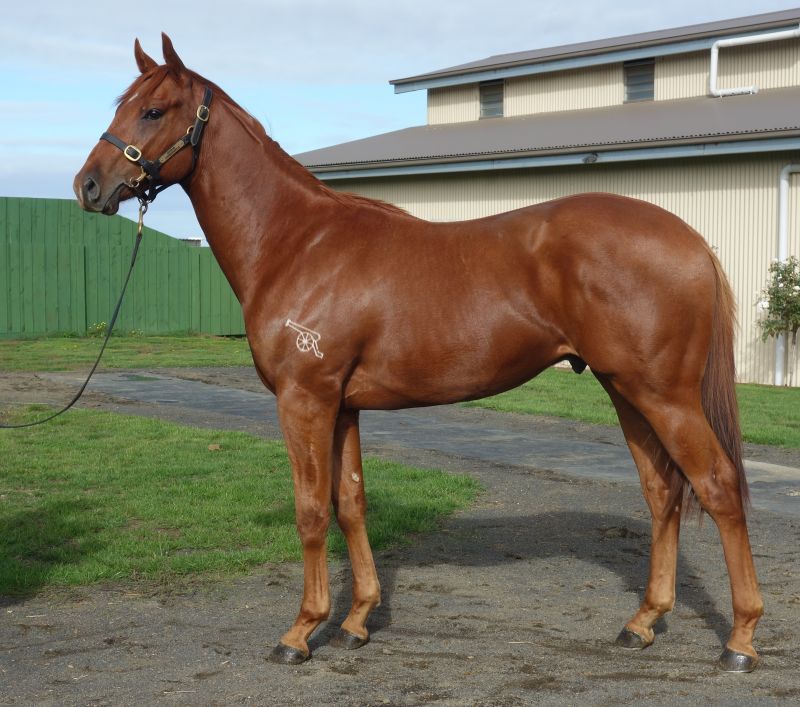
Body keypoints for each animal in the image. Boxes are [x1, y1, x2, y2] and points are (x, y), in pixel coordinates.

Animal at [74, 34, 763, 672]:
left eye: (154, 110)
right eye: (123, 104)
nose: (88, 185)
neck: (296, 243)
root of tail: (690, 238)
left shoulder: (305, 399)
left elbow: (310, 511)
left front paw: (301, 632)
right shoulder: (342, 407)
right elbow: (350, 504)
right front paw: (356, 620)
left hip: (664, 395)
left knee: (719, 485)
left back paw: (740, 640)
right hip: (625, 391)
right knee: (664, 491)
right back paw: (643, 622)